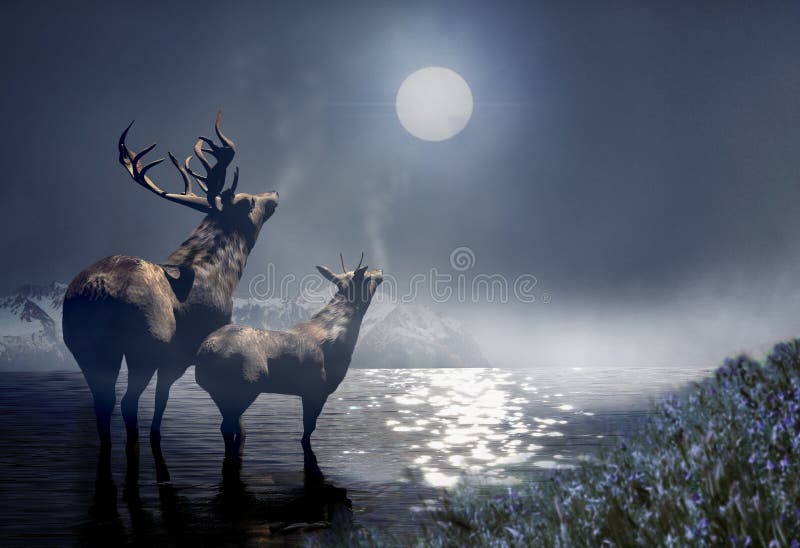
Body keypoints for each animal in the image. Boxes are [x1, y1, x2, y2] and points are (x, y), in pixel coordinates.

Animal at [62, 112, 279, 481]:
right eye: (250, 200)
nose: (274, 193)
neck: (224, 277)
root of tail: (97, 289)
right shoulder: (184, 352)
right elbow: (230, 416)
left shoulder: (170, 360)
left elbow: (161, 403)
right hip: (144, 344)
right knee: (126, 402)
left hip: (84, 347)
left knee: (103, 404)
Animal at [194, 254, 383, 479]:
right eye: (367, 277)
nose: (380, 272)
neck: (341, 341)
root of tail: (204, 351)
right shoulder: (317, 390)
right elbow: (308, 431)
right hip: (244, 386)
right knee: (228, 427)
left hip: (220, 393)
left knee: (236, 427)